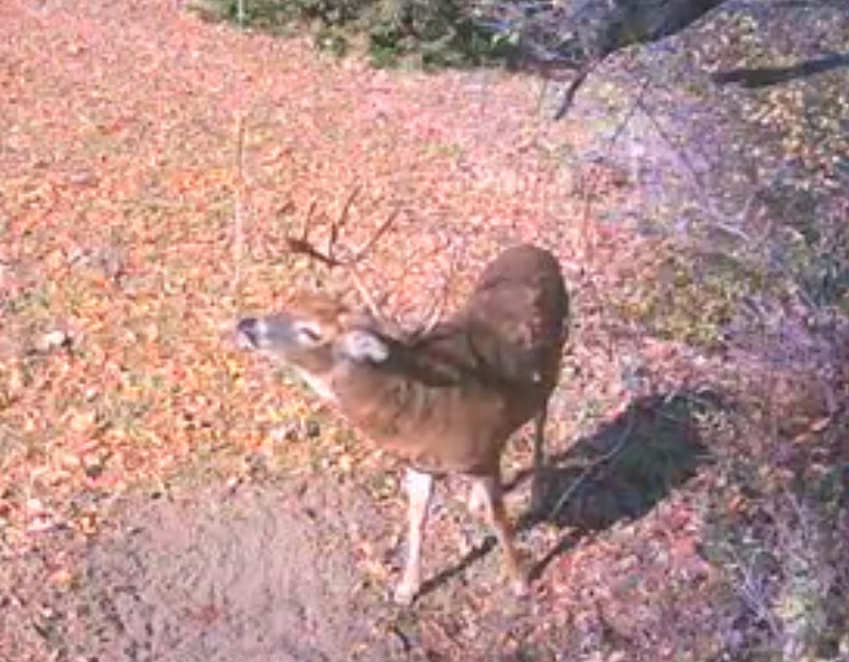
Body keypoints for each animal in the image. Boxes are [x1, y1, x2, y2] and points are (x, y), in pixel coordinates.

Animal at [235, 200, 569, 605]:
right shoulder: (419, 464)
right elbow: (417, 519)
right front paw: (407, 589)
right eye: (290, 303)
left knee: (542, 415)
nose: (246, 325)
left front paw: (521, 583)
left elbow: (500, 522)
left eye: (310, 332)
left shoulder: (482, 454)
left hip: (556, 357)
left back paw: (535, 494)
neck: (418, 414)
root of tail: (538, 249)